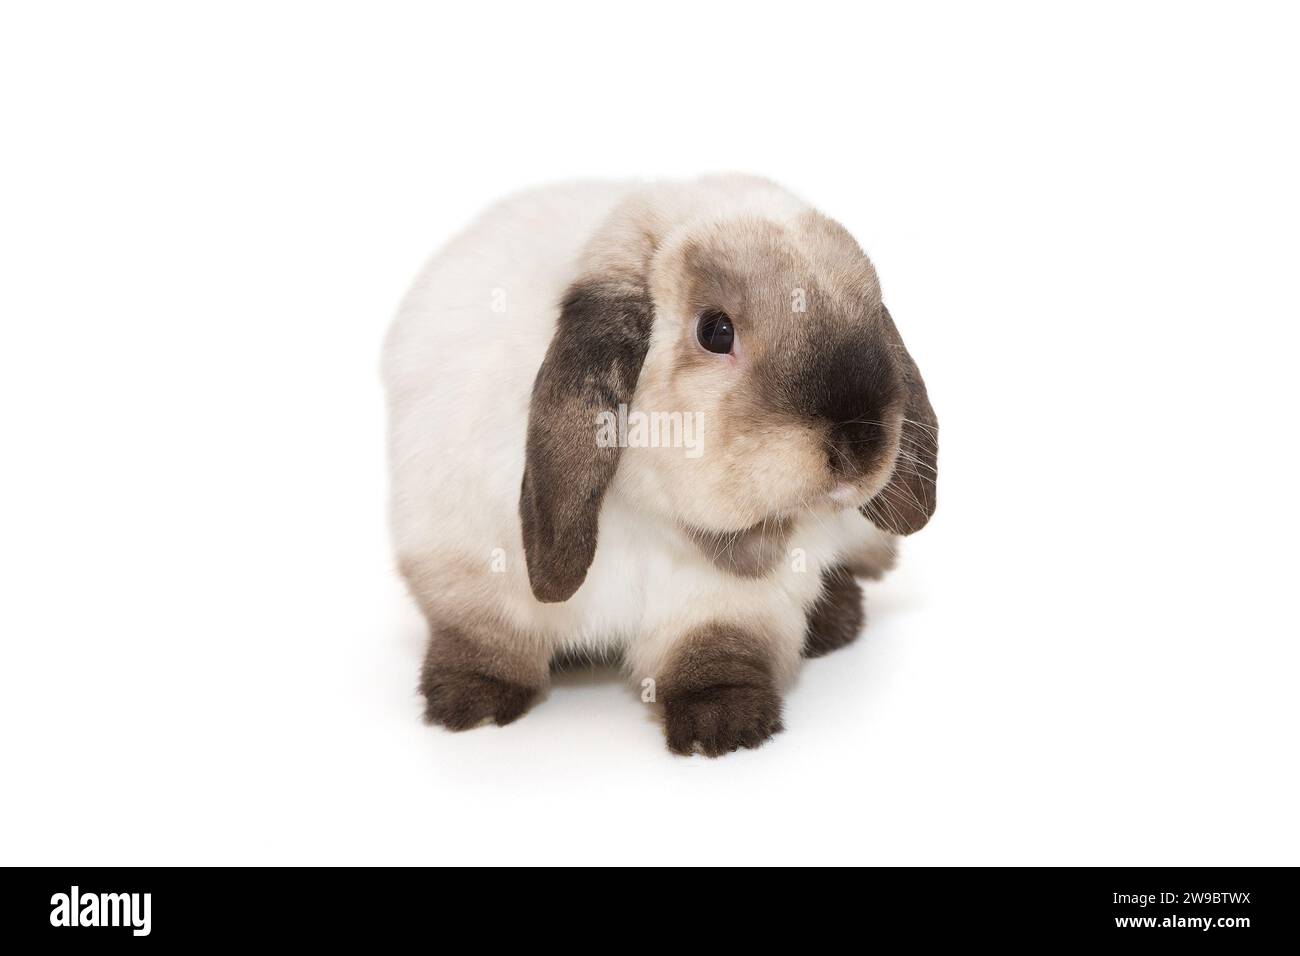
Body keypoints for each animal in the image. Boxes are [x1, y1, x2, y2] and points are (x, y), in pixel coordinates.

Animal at [383, 175, 937, 756]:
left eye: (871, 316)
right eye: (715, 332)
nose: (860, 446)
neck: (636, 505)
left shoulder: (721, 602)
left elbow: (713, 656)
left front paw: (723, 726)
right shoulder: (473, 574)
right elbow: (487, 643)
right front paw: (472, 703)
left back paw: (836, 623)